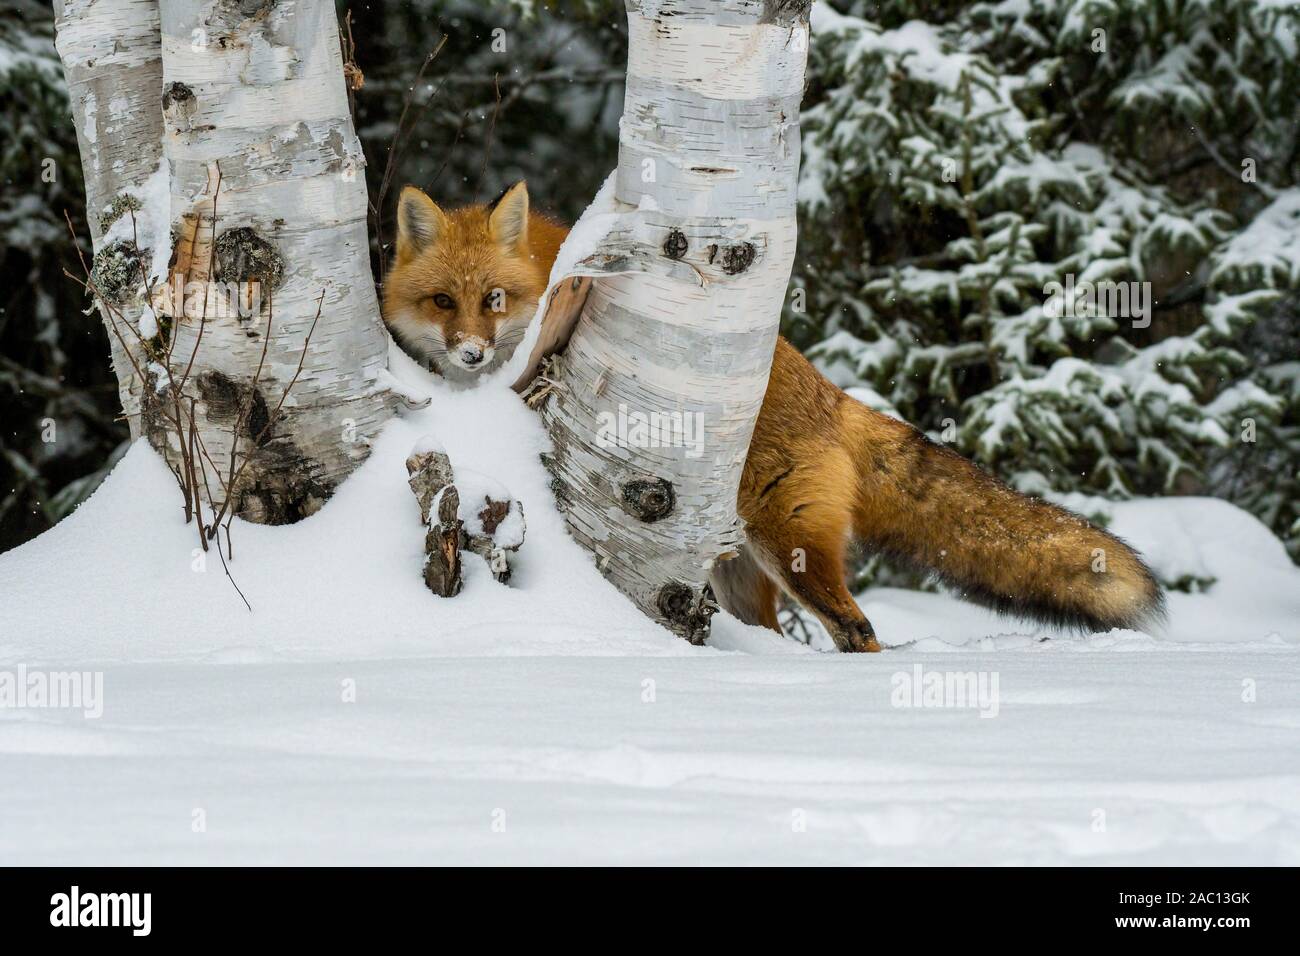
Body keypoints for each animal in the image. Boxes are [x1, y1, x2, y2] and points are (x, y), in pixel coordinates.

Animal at [383, 181, 1166, 652]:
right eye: (442, 302)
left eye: (493, 299)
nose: (474, 353)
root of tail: (835, 398)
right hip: (736, 576)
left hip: (790, 551)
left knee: (859, 629)